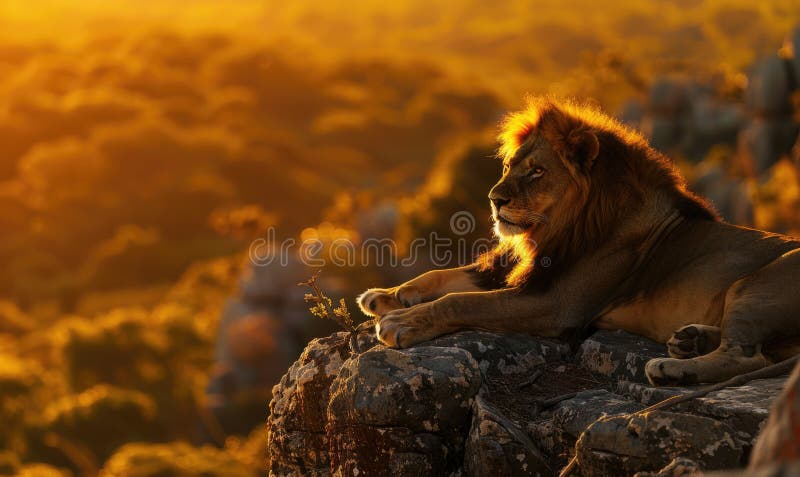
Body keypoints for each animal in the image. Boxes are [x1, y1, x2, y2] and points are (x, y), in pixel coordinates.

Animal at [358, 97, 800, 386]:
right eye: (509, 166)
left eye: (537, 171)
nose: (494, 199)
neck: (561, 226)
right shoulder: (529, 273)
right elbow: (446, 275)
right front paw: (387, 296)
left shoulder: (556, 303)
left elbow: (458, 300)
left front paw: (400, 322)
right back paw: (691, 340)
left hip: (755, 284)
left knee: (747, 357)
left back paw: (672, 368)